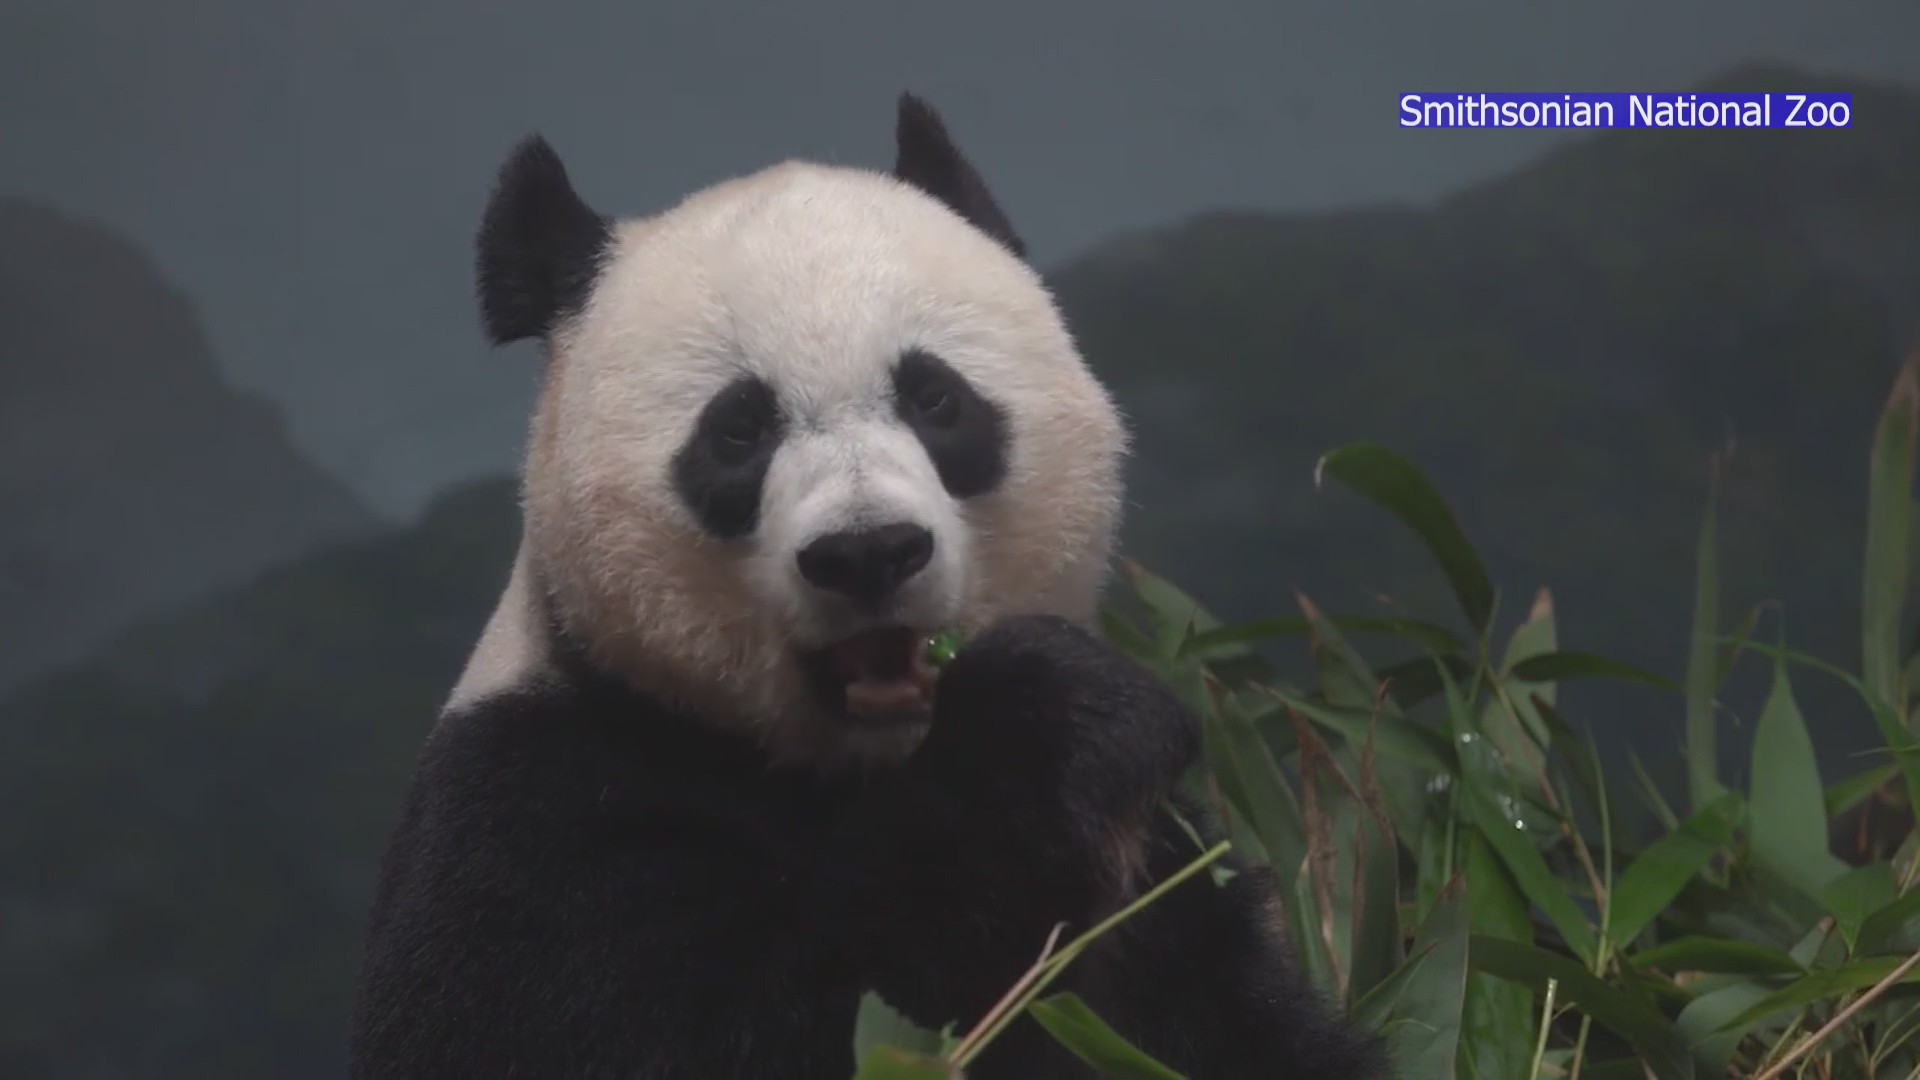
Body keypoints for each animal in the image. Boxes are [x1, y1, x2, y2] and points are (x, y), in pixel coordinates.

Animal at [348, 94, 1389, 1080]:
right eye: (738, 431)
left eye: (935, 398)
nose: (868, 553)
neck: (849, 765)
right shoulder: (535, 814)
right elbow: (799, 1021)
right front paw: (1044, 720)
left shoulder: (1160, 888)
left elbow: (1221, 1027)